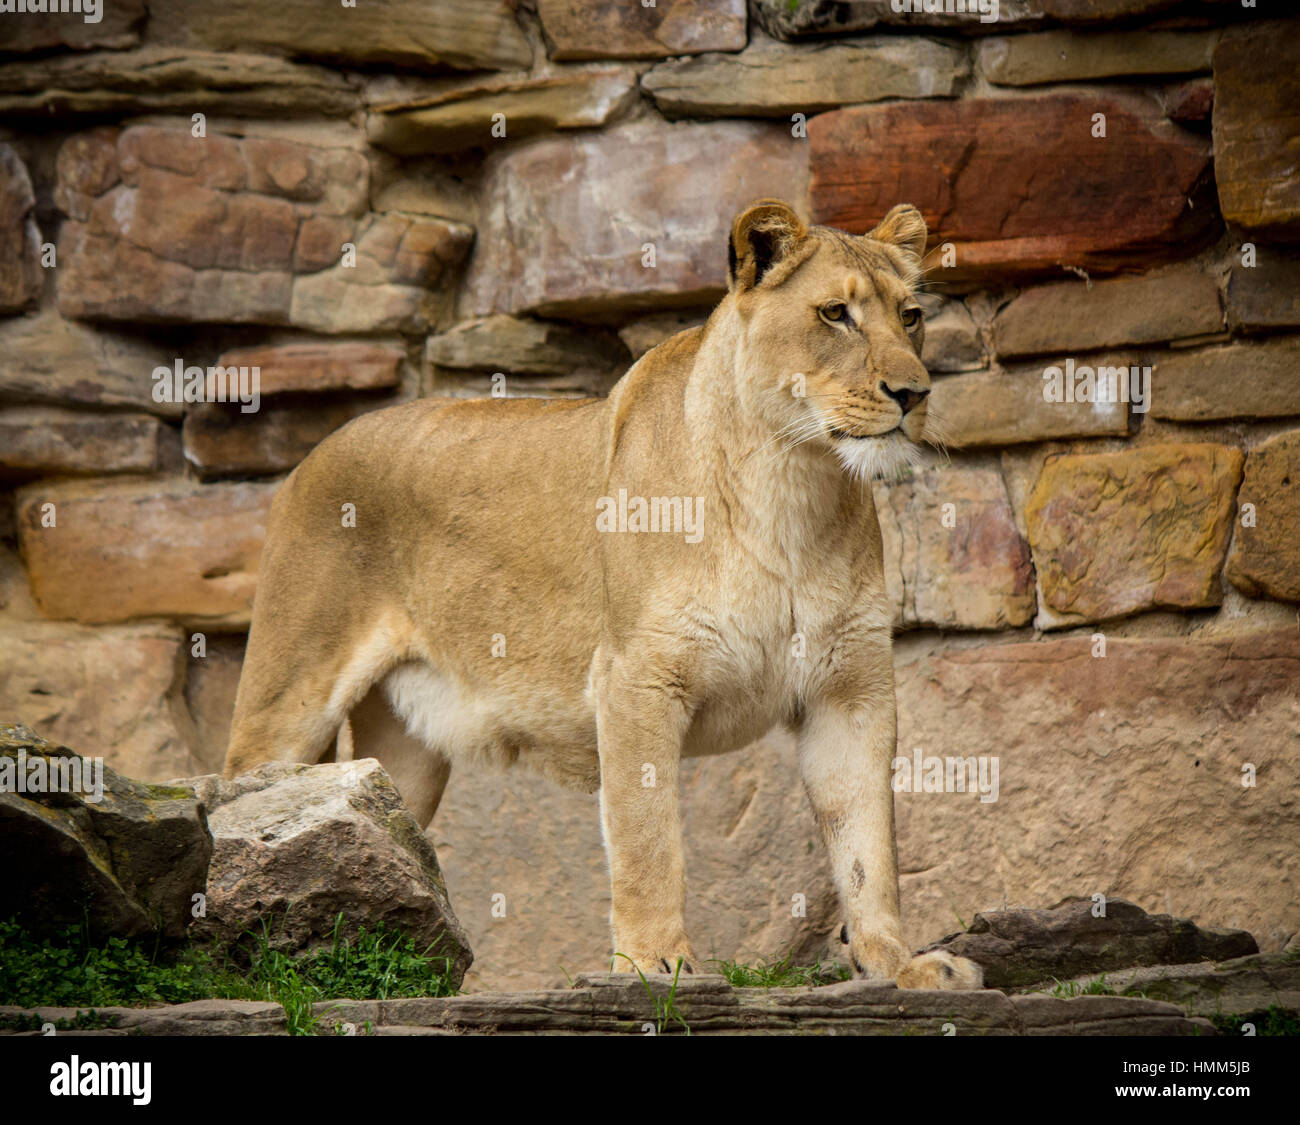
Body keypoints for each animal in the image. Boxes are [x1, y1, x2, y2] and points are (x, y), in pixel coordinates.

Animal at [223, 199, 983, 991]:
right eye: (836, 313)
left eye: (911, 316)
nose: (914, 393)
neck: (795, 485)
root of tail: (312, 454)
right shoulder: (635, 679)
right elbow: (649, 838)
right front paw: (656, 966)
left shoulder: (851, 689)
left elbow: (868, 846)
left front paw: (898, 963)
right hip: (288, 697)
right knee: (241, 803)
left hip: (405, 755)